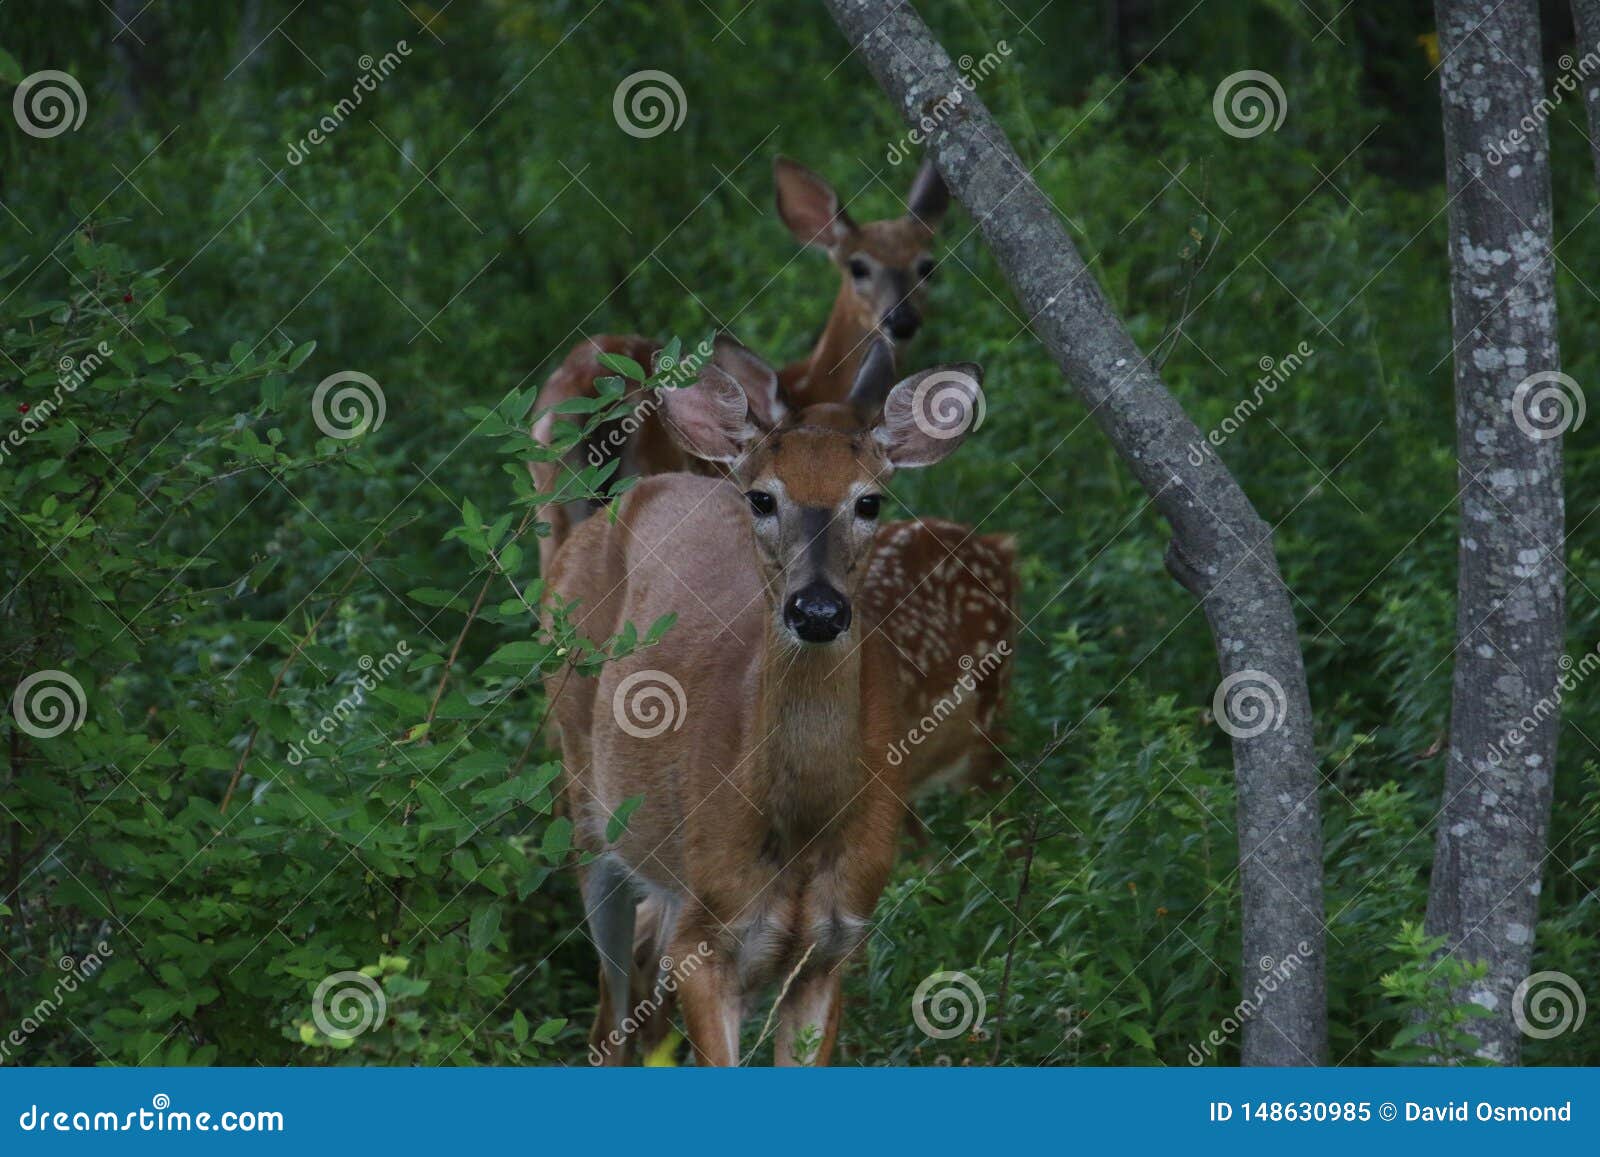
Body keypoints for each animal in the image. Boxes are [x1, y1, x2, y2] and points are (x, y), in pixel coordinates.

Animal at [543, 339, 984, 1065]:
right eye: (761, 497)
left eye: (870, 501)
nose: (818, 609)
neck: (802, 830)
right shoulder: (708, 941)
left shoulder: (832, 949)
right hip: (588, 797)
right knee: (609, 1017)